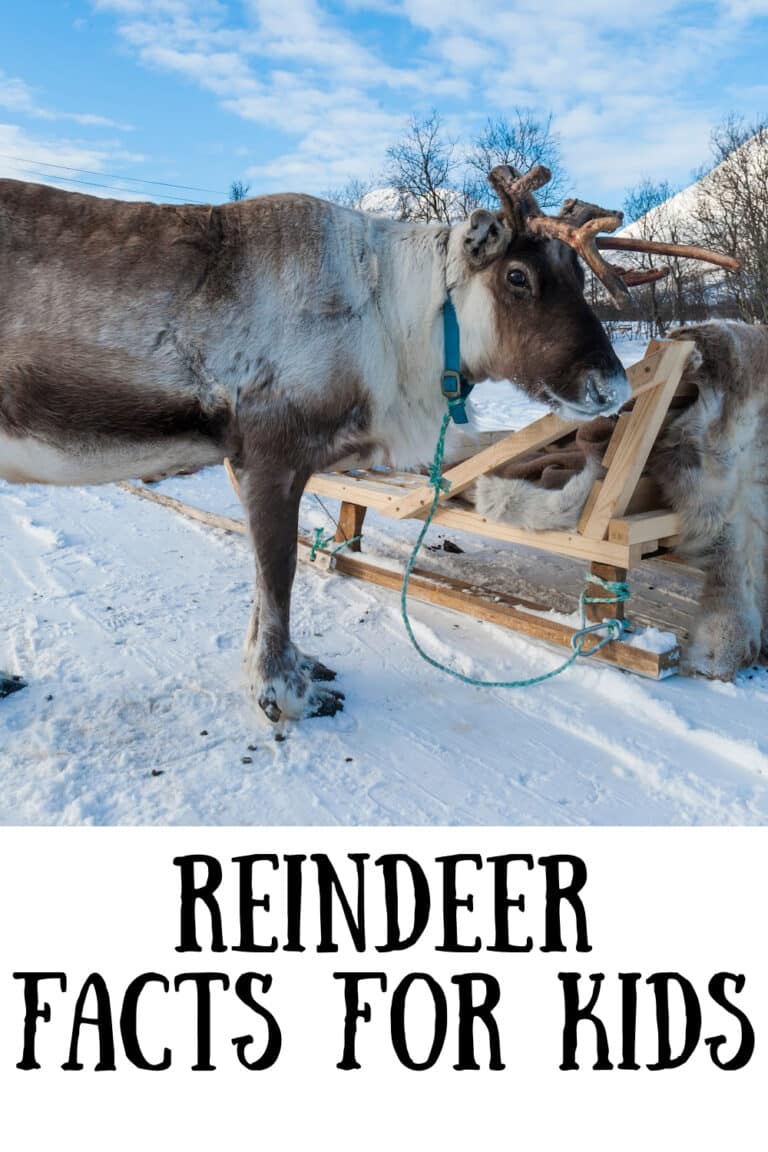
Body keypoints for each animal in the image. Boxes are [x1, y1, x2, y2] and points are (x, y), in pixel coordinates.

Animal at [2, 165, 692, 721]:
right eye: (517, 276)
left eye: (578, 274)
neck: (395, 318)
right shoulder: (271, 456)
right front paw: (286, 695)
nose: (612, 385)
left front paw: (292, 670)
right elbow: (277, 579)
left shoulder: (261, 462)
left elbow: (263, 587)